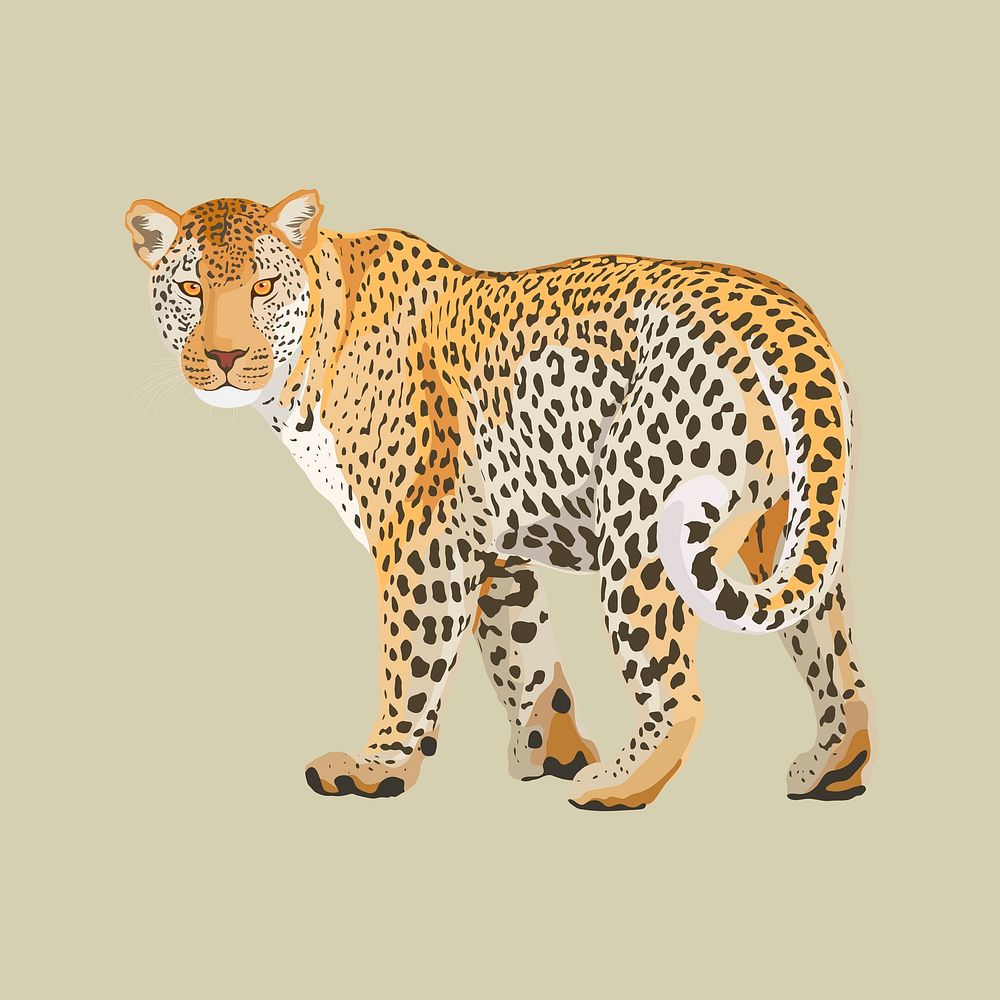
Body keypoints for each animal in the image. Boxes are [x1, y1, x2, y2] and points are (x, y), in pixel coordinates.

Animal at [125, 189, 873, 810]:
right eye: (191, 287)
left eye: (263, 286)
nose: (223, 357)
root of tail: (782, 316)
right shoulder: (489, 543)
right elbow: (525, 650)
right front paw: (551, 751)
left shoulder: (421, 540)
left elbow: (411, 659)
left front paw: (377, 767)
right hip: (790, 526)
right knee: (833, 653)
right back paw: (831, 769)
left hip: (642, 528)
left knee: (678, 689)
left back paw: (617, 785)